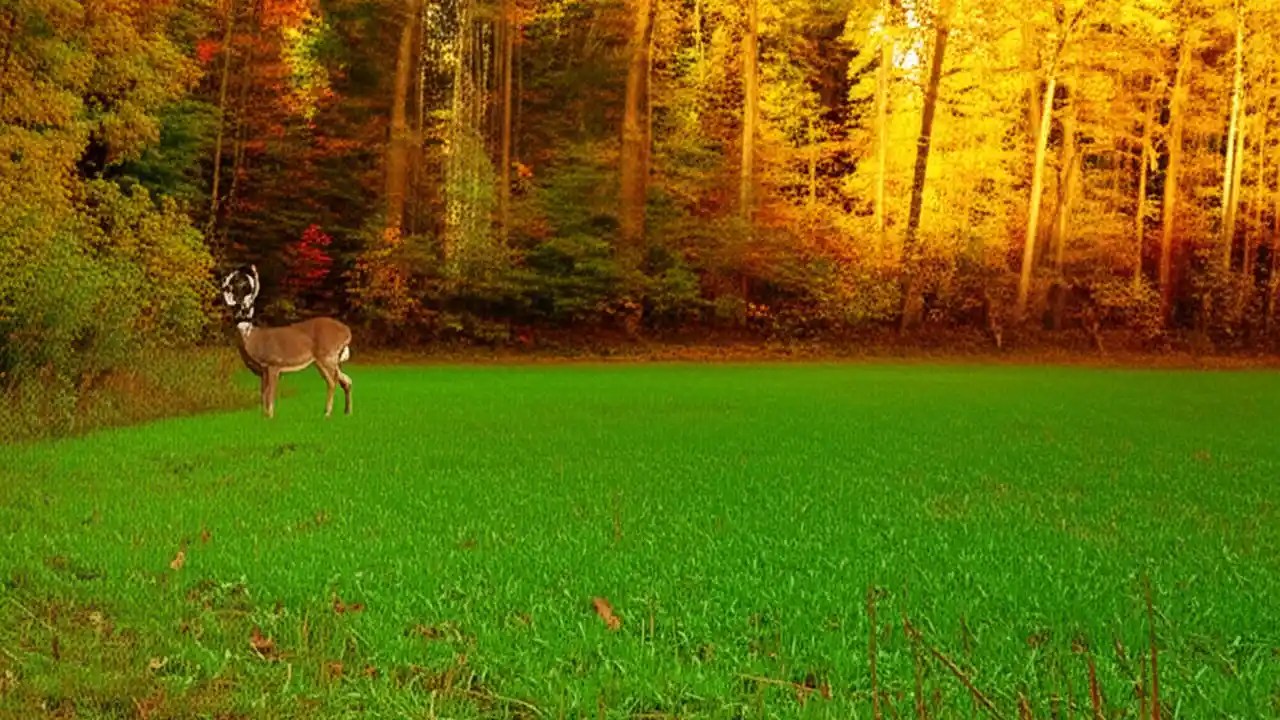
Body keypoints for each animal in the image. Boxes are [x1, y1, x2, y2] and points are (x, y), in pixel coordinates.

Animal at [221, 265, 353, 419]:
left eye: (249, 308)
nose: (243, 315)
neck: (253, 338)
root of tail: (347, 332)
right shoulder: (263, 370)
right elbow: (263, 393)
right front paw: (263, 417)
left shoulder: (274, 363)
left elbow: (270, 394)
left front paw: (270, 416)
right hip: (326, 360)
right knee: (346, 380)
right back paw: (347, 412)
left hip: (326, 355)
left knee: (333, 382)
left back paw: (327, 413)